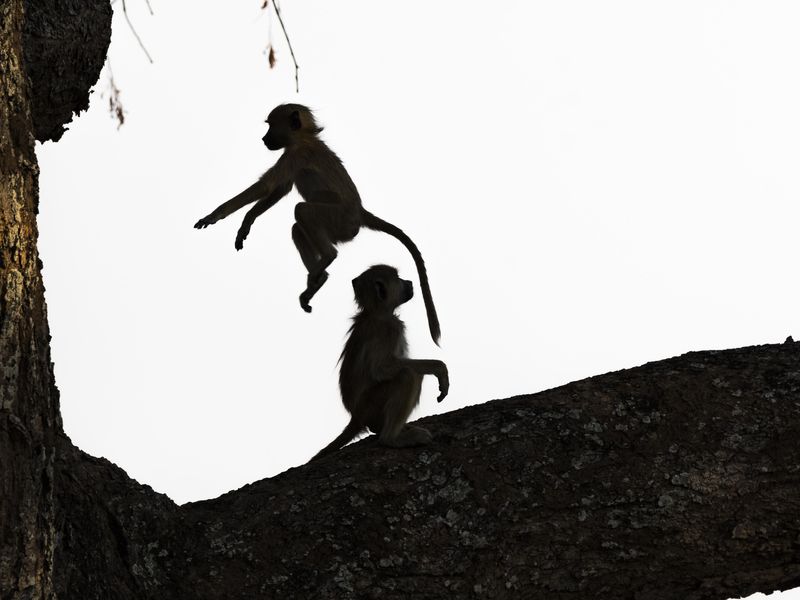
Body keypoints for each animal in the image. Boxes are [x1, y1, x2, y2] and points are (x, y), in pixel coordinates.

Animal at [193, 104, 441, 344]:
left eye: (271, 127)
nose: (264, 139)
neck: (303, 137)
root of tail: (360, 212)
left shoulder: (297, 154)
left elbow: (266, 186)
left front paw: (214, 216)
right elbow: (279, 190)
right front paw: (247, 222)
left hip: (341, 221)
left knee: (302, 211)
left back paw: (328, 258)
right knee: (298, 226)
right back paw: (318, 279)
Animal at [311, 265, 449, 461]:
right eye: (398, 279)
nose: (409, 282)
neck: (375, 312)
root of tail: (356, 416)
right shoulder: (390, 328)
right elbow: (380, 369)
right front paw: (440, 368)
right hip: (370, 405)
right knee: (407, 375)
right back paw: (391, 438)